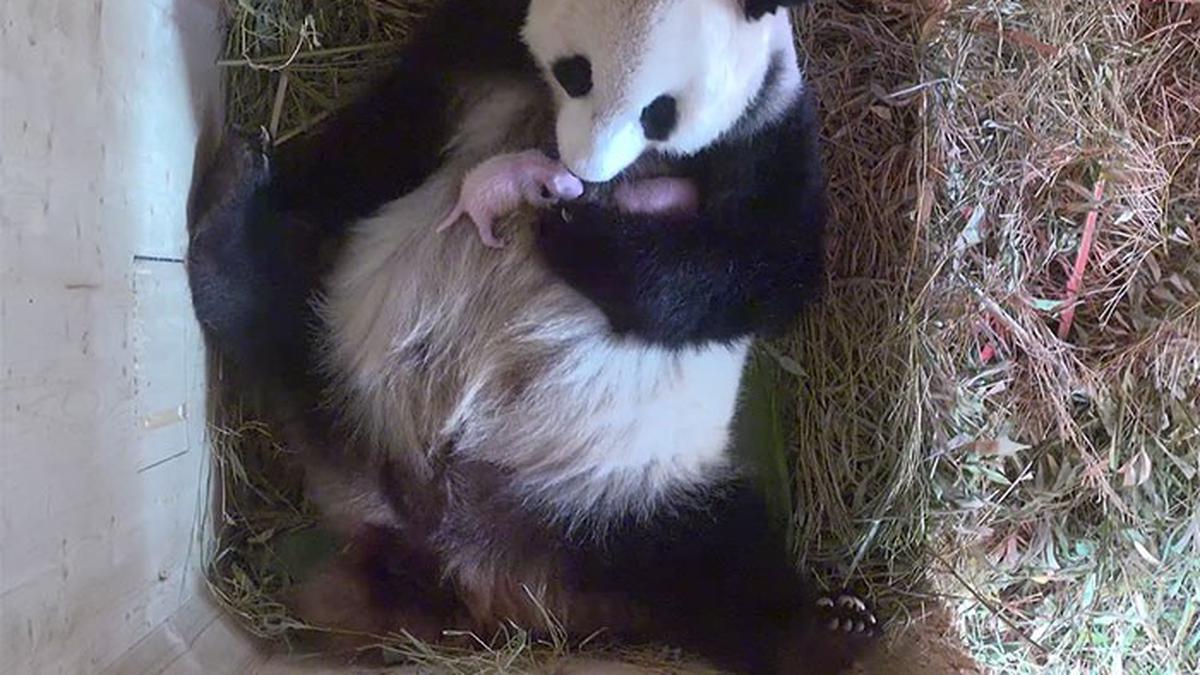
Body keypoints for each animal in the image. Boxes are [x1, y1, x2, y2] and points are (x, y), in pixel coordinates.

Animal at [187, 0, 879, 672]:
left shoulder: (764, 135)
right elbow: (391, 125)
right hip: (347, 347)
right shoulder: (481, 44)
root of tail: (443, 548)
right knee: (278, 311)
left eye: (660, 112)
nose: (580, 171)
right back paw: (234, 215)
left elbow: (763, 264)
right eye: (577, 72)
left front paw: (578, 233)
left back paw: (826, 627)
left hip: (622, 498)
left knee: (718, 572)